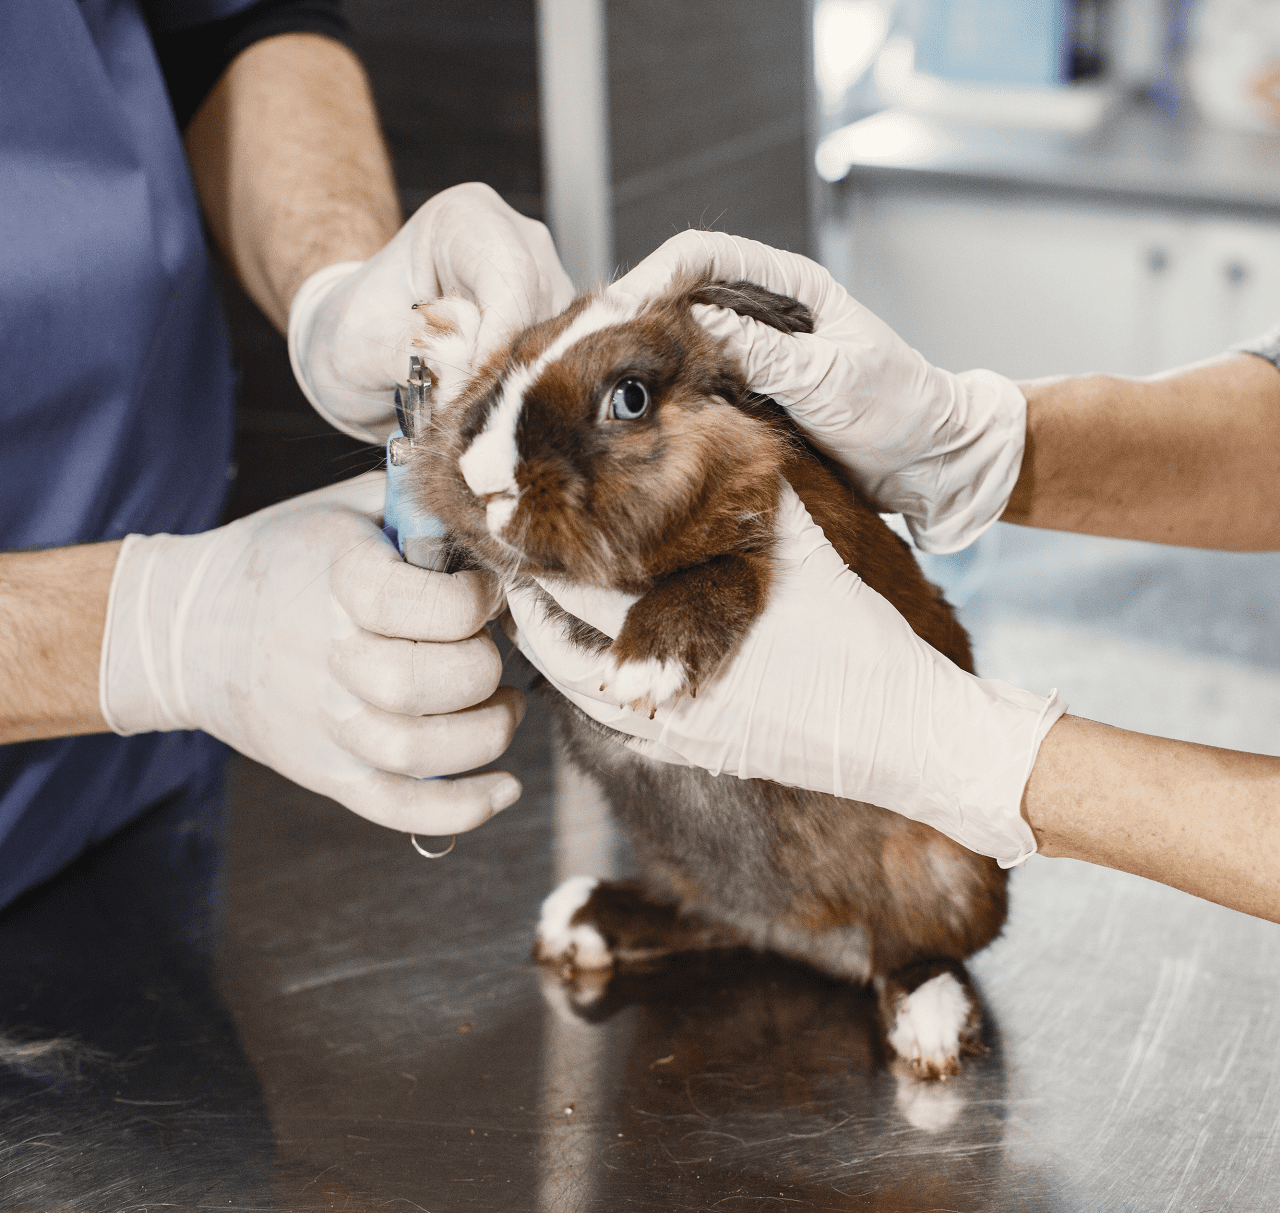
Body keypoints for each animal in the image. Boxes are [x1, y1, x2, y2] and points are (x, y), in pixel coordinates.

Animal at [407, 274, 1007, 1080]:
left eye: (630, 398)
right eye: (510, 369)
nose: (485, 479)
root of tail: (800, 937)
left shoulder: (768, 536)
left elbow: (720, 577)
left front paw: (642, 672)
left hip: (949, 872)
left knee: (911, 952)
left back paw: (931, 1025)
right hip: (681, 866)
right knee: (706, 918)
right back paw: (582, 920)